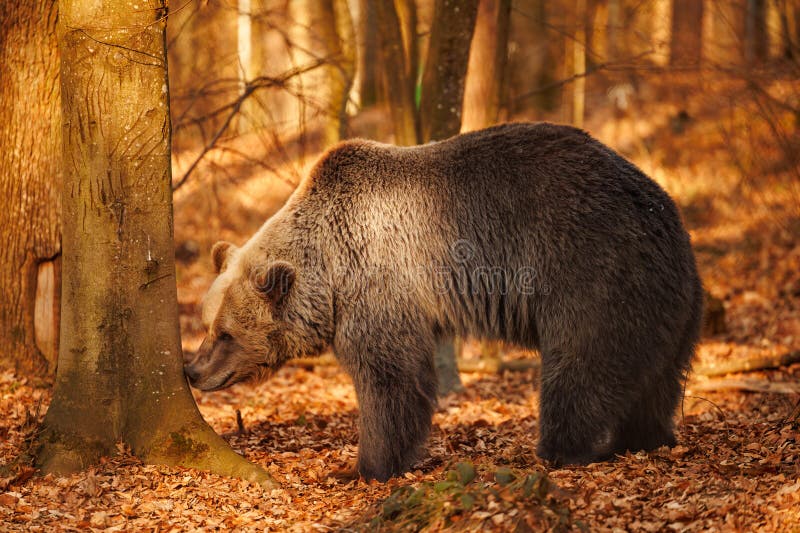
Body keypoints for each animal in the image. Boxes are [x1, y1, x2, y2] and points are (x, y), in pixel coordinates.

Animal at [183, 122, 703, 482]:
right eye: (208, 325)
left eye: (225, 333)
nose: (193, 370)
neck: (327, 270)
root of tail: (664, 213)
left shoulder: (376, 282)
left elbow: (389, 378)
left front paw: (362, 466)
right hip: (667, 300)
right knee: (656, 377)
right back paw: (646, 437)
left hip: (589, 271)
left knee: (579, 367)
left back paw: (563, 448)